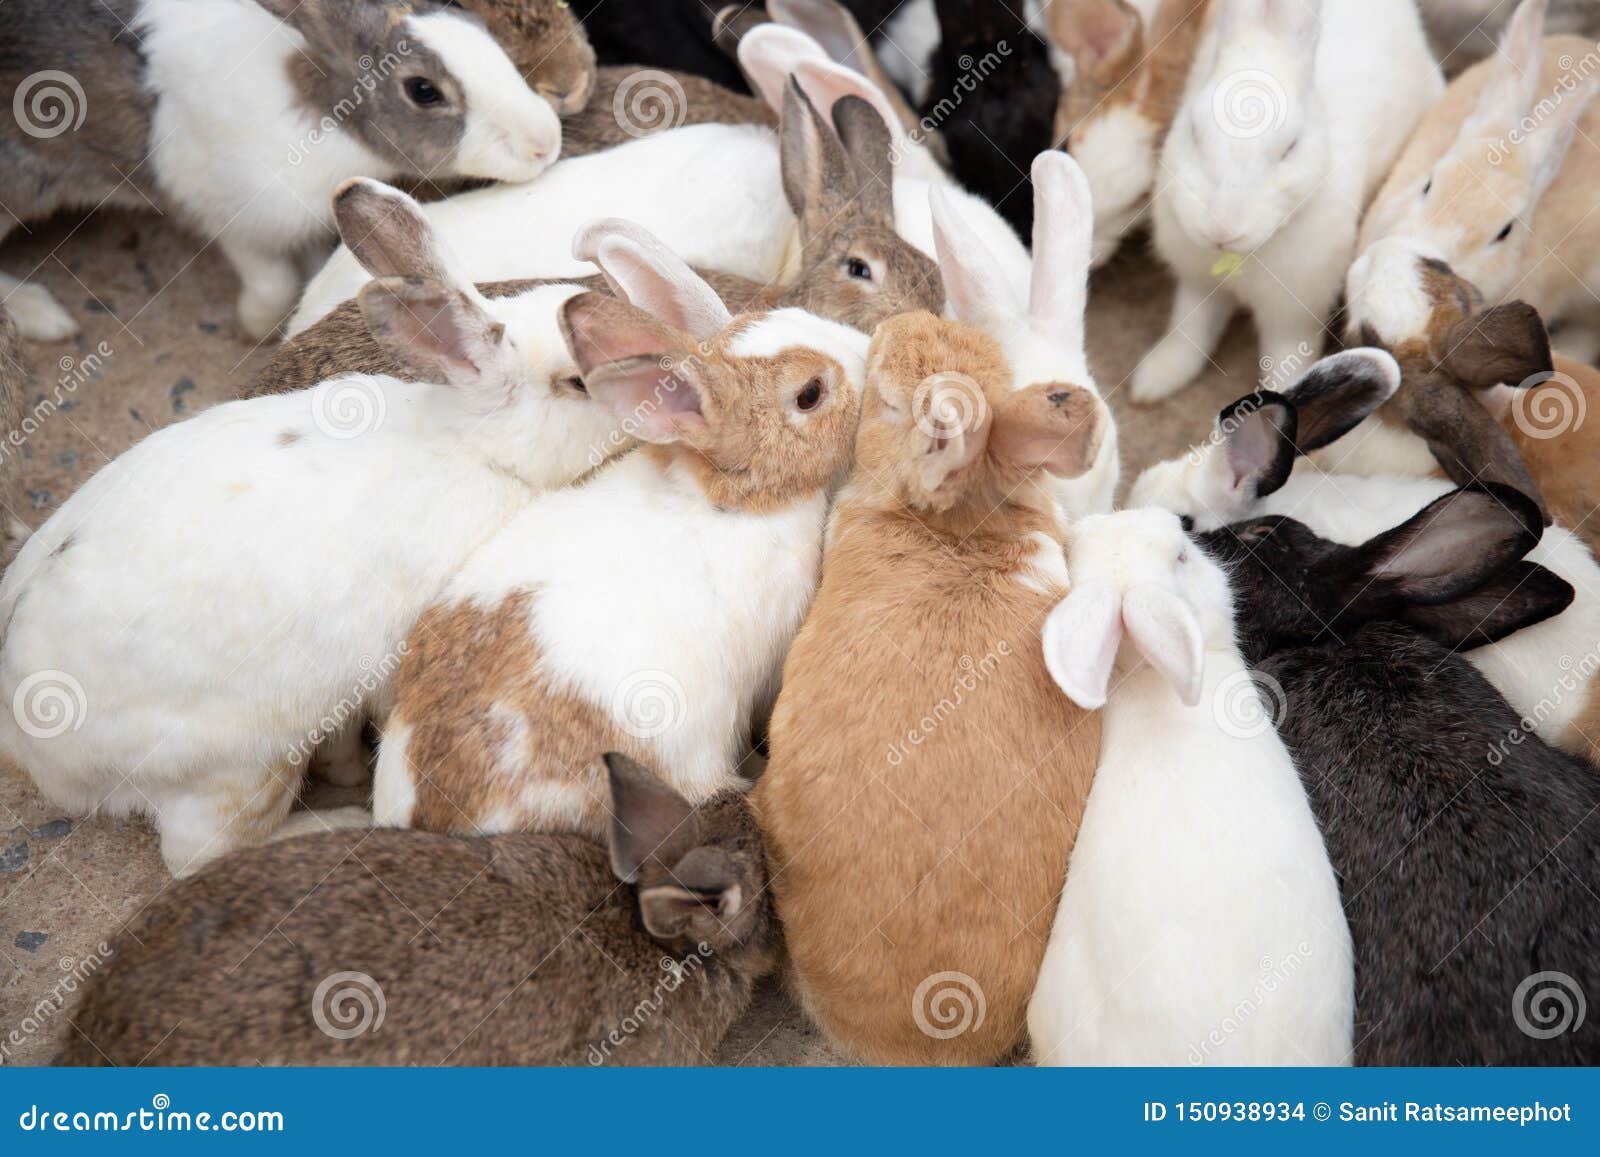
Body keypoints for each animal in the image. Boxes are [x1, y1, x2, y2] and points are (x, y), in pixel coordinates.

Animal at [0, 0, 571, 341]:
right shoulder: (236, 220)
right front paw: (255, 327)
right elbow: (274, 285)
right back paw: (41, 315)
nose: (546, 141)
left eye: (481, 31)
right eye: (423, 90)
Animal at [0, 180, 635, 878]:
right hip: (239, 768)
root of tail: (31, 753)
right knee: (199, 856)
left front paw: (345, 768)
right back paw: (337, 823)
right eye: (577, 382)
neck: (476, 445)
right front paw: (351, 782)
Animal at [1130, 0, 1443, 403]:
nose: (1221, 228)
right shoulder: (1197, 284)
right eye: (1194, 133)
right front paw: (1154, 380)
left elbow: (1285, 361)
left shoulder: (1294, 315)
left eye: (1290, 148)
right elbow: (1189, 331)